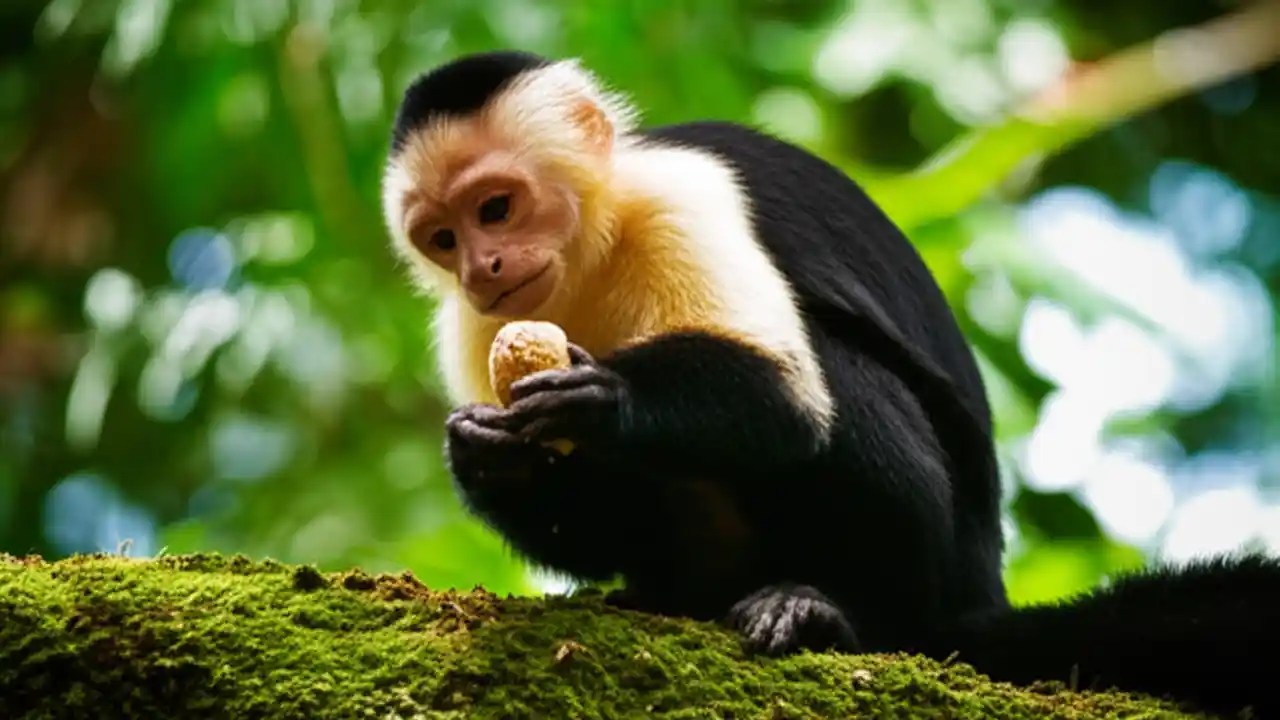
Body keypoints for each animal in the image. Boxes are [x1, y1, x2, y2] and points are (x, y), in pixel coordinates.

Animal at [380, 50, 1279, 718]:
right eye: (444, 238)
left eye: (497, 208)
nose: (485, 267)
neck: (591, 246)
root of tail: (975, 595)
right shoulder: (469, 323)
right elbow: (580, 522)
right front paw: (485, 453)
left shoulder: (679, 200)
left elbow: (787, 405)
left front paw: (607, 401)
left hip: (937, 576)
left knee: (834, 367)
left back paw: (836, 613)